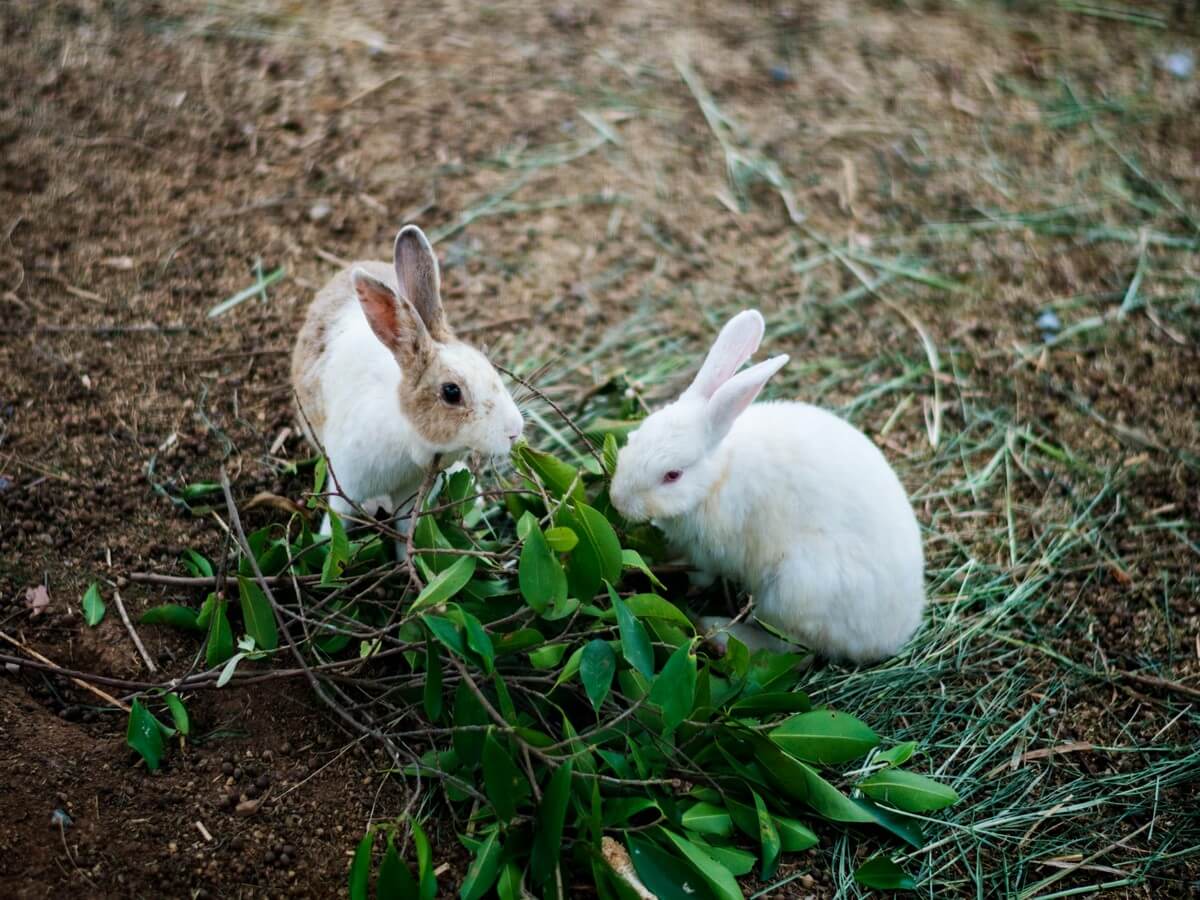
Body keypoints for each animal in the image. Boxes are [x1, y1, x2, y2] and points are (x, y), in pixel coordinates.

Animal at [291, 224, 524, 538]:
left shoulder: (411, 495)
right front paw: (326, 541)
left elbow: (405, 532)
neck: (407, 432)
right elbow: (336, 519)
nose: (514, 431)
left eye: (487, 364)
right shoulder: (346, 481)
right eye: (451, 392)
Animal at [608, 310, 924, 664]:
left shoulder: (710, 552)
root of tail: (893, 637)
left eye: (672, 475)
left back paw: (719, 631)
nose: (617, 500)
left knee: (793, 649)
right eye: (634, 435)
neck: (719, 473)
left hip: (793, 589)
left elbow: (702, 573)